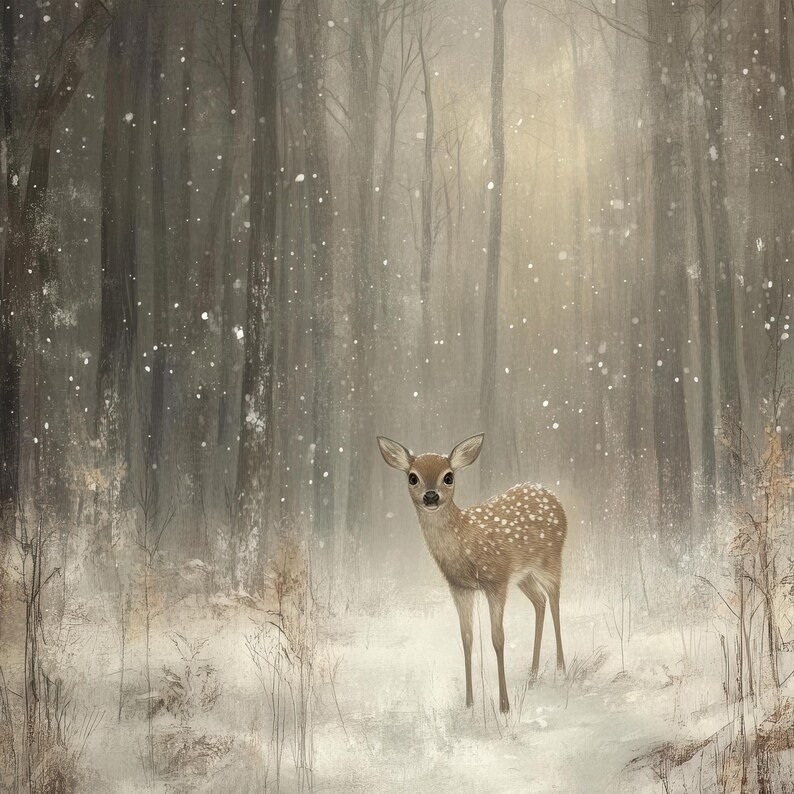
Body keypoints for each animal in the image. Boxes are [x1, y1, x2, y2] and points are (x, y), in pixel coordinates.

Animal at [377, 433, 566, 713]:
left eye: (448, 476)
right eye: (412, 477)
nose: (431, 496)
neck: (465, 540)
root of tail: (551, 495)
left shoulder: (496, 581)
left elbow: (498, 639)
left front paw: (504, 705)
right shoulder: (460, 587)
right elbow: (466, 639)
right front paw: (469, 703)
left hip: (551, 559)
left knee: (554, 601)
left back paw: (561, 670)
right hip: (524, 575)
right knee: (540, 602)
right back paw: (532, 675)